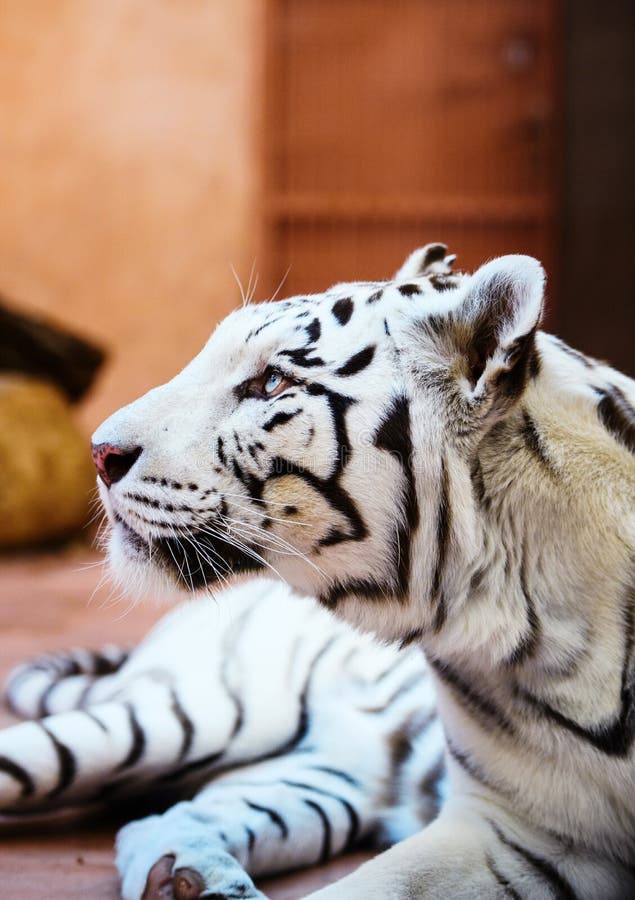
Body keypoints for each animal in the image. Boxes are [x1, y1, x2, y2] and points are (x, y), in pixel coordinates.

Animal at [1, 243, 634, 899]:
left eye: (272, 382)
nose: (99, 454)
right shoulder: (515, 828)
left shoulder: (527, 840)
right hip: (187, 716)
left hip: (313, 781)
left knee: (167, 815)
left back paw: (189, 877)